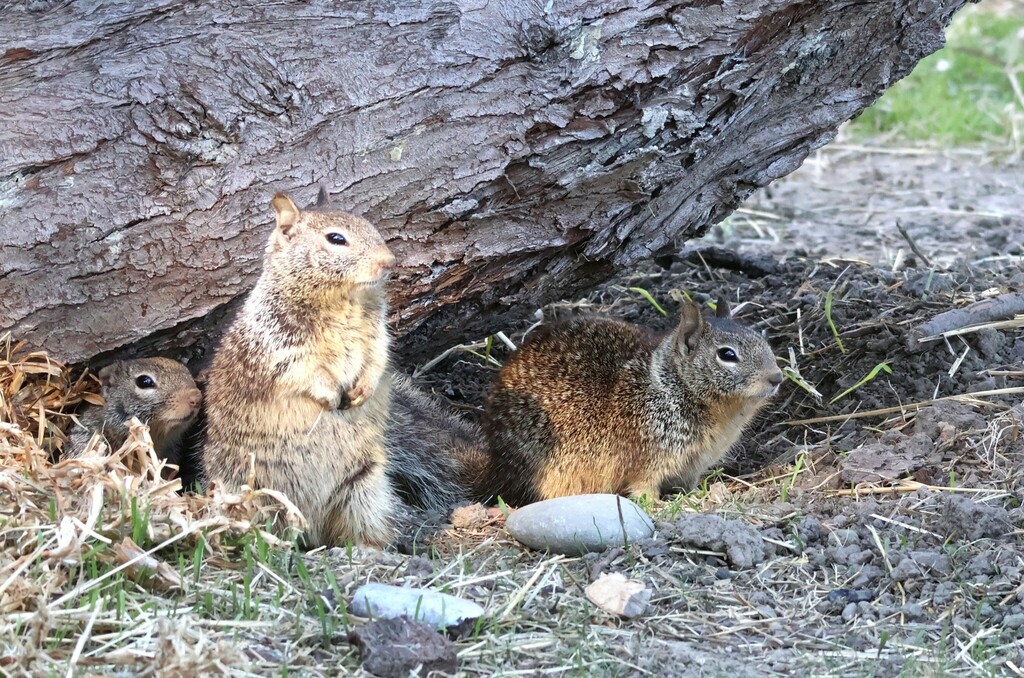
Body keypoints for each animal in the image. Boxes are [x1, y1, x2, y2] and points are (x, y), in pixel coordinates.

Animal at [481, 297, 784, 505]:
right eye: (727, 354)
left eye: (762, 340)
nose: (777, 377)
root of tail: (495, 467)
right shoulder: (649, 458)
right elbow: (643, 487)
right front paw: (658, 505)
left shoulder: (694, 463)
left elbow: (689, 484)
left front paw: (698, 495)